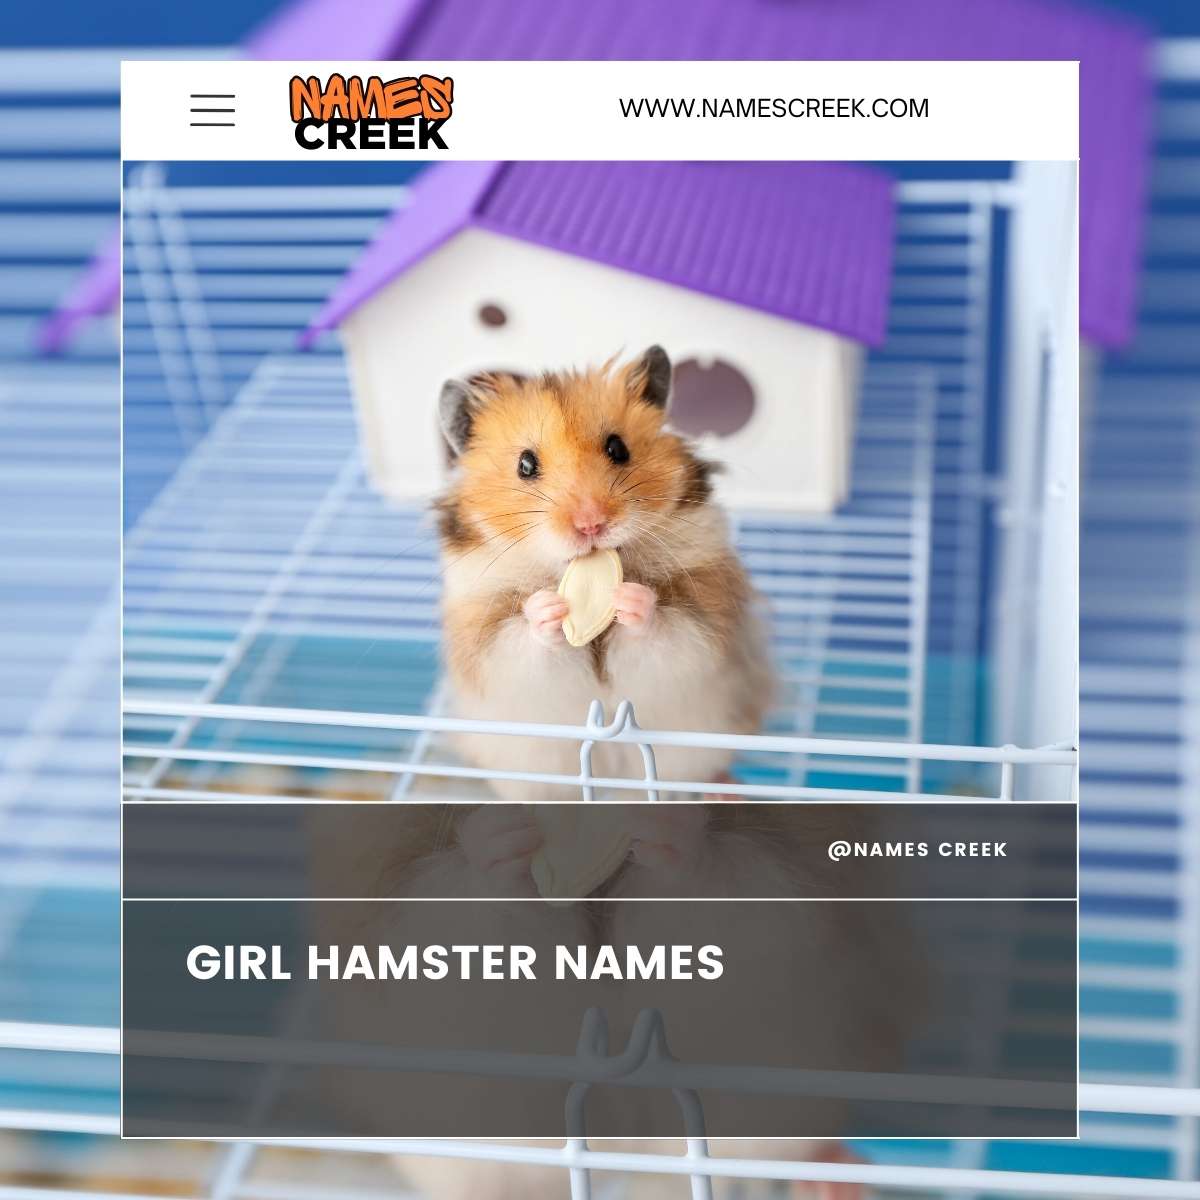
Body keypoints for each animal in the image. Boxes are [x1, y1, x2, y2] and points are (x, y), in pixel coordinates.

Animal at [434, 346, 774, 801]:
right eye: (525, 464)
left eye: (617, 448)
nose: (591, 525)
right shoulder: (486, 642)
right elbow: (519, 642)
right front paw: (547, 608)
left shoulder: (706, 623)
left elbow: (669, 631)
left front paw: (631, 599)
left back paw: (725, 790)